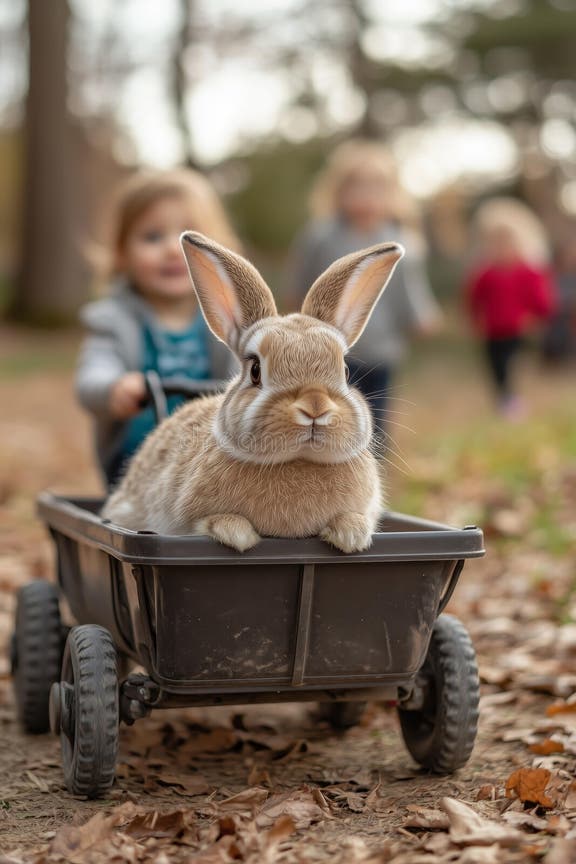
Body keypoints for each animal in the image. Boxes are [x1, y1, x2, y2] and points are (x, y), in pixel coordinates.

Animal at [102, 231, 404, 553]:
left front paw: (352, 534)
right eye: (255, 370)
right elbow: (208, 522)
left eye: (345, 371)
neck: (298, 459)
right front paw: (235, 532)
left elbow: (354, 517)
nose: (315, 407)